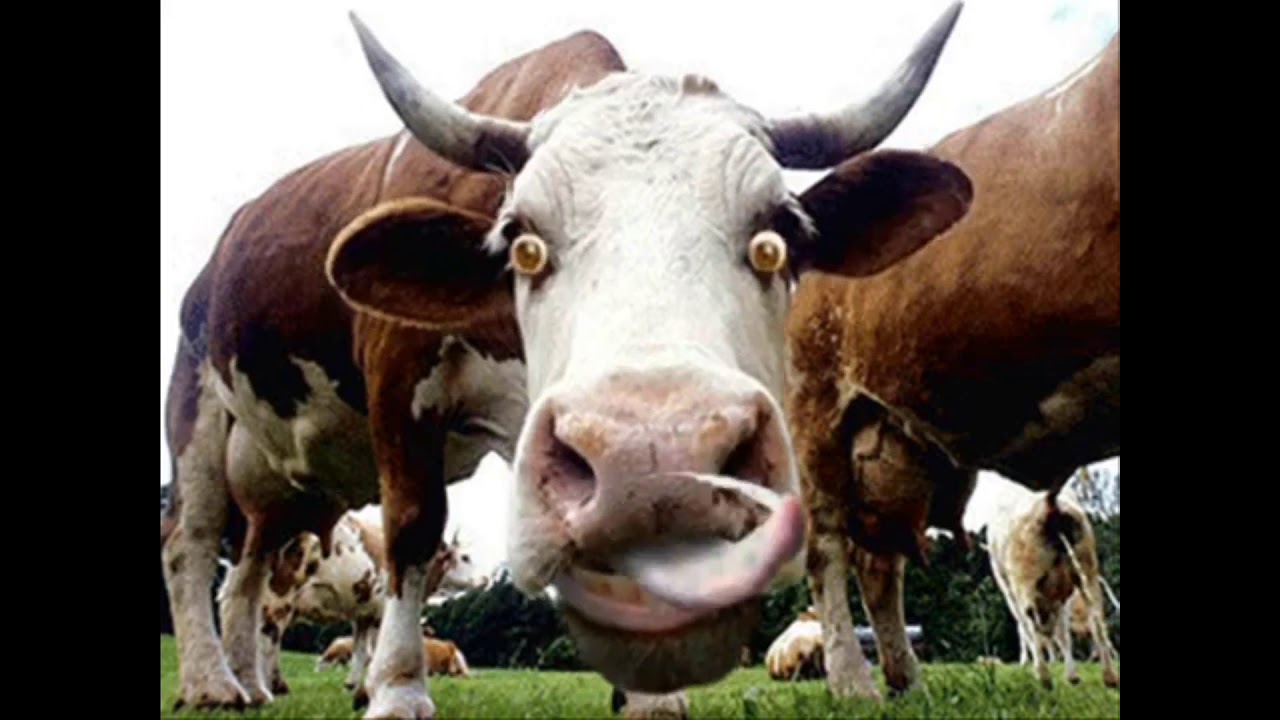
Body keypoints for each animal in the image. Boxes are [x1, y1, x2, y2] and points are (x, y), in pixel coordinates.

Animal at [161, 4, 973, 715]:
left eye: (777, 238)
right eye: (521, 241)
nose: (662, 448)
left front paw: (651, 696)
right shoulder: (398, 383)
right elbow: (415, 528)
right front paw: (395, 689)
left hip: (277, 498)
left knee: (247, 580)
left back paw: (249, 683)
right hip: (196, 411)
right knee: (190, 547)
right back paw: (210, 683)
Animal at [987, 484, 1118, 689]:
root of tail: (1049, 503)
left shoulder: (1010, 591)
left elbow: (1026, 629)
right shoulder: (1060, 598)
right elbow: (1062, 632)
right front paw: (1071, 675)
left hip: (1024, 581)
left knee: (1030, 620)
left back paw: (1043, 676)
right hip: (1087, 572)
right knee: (1096, 619)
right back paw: (1109, 677)